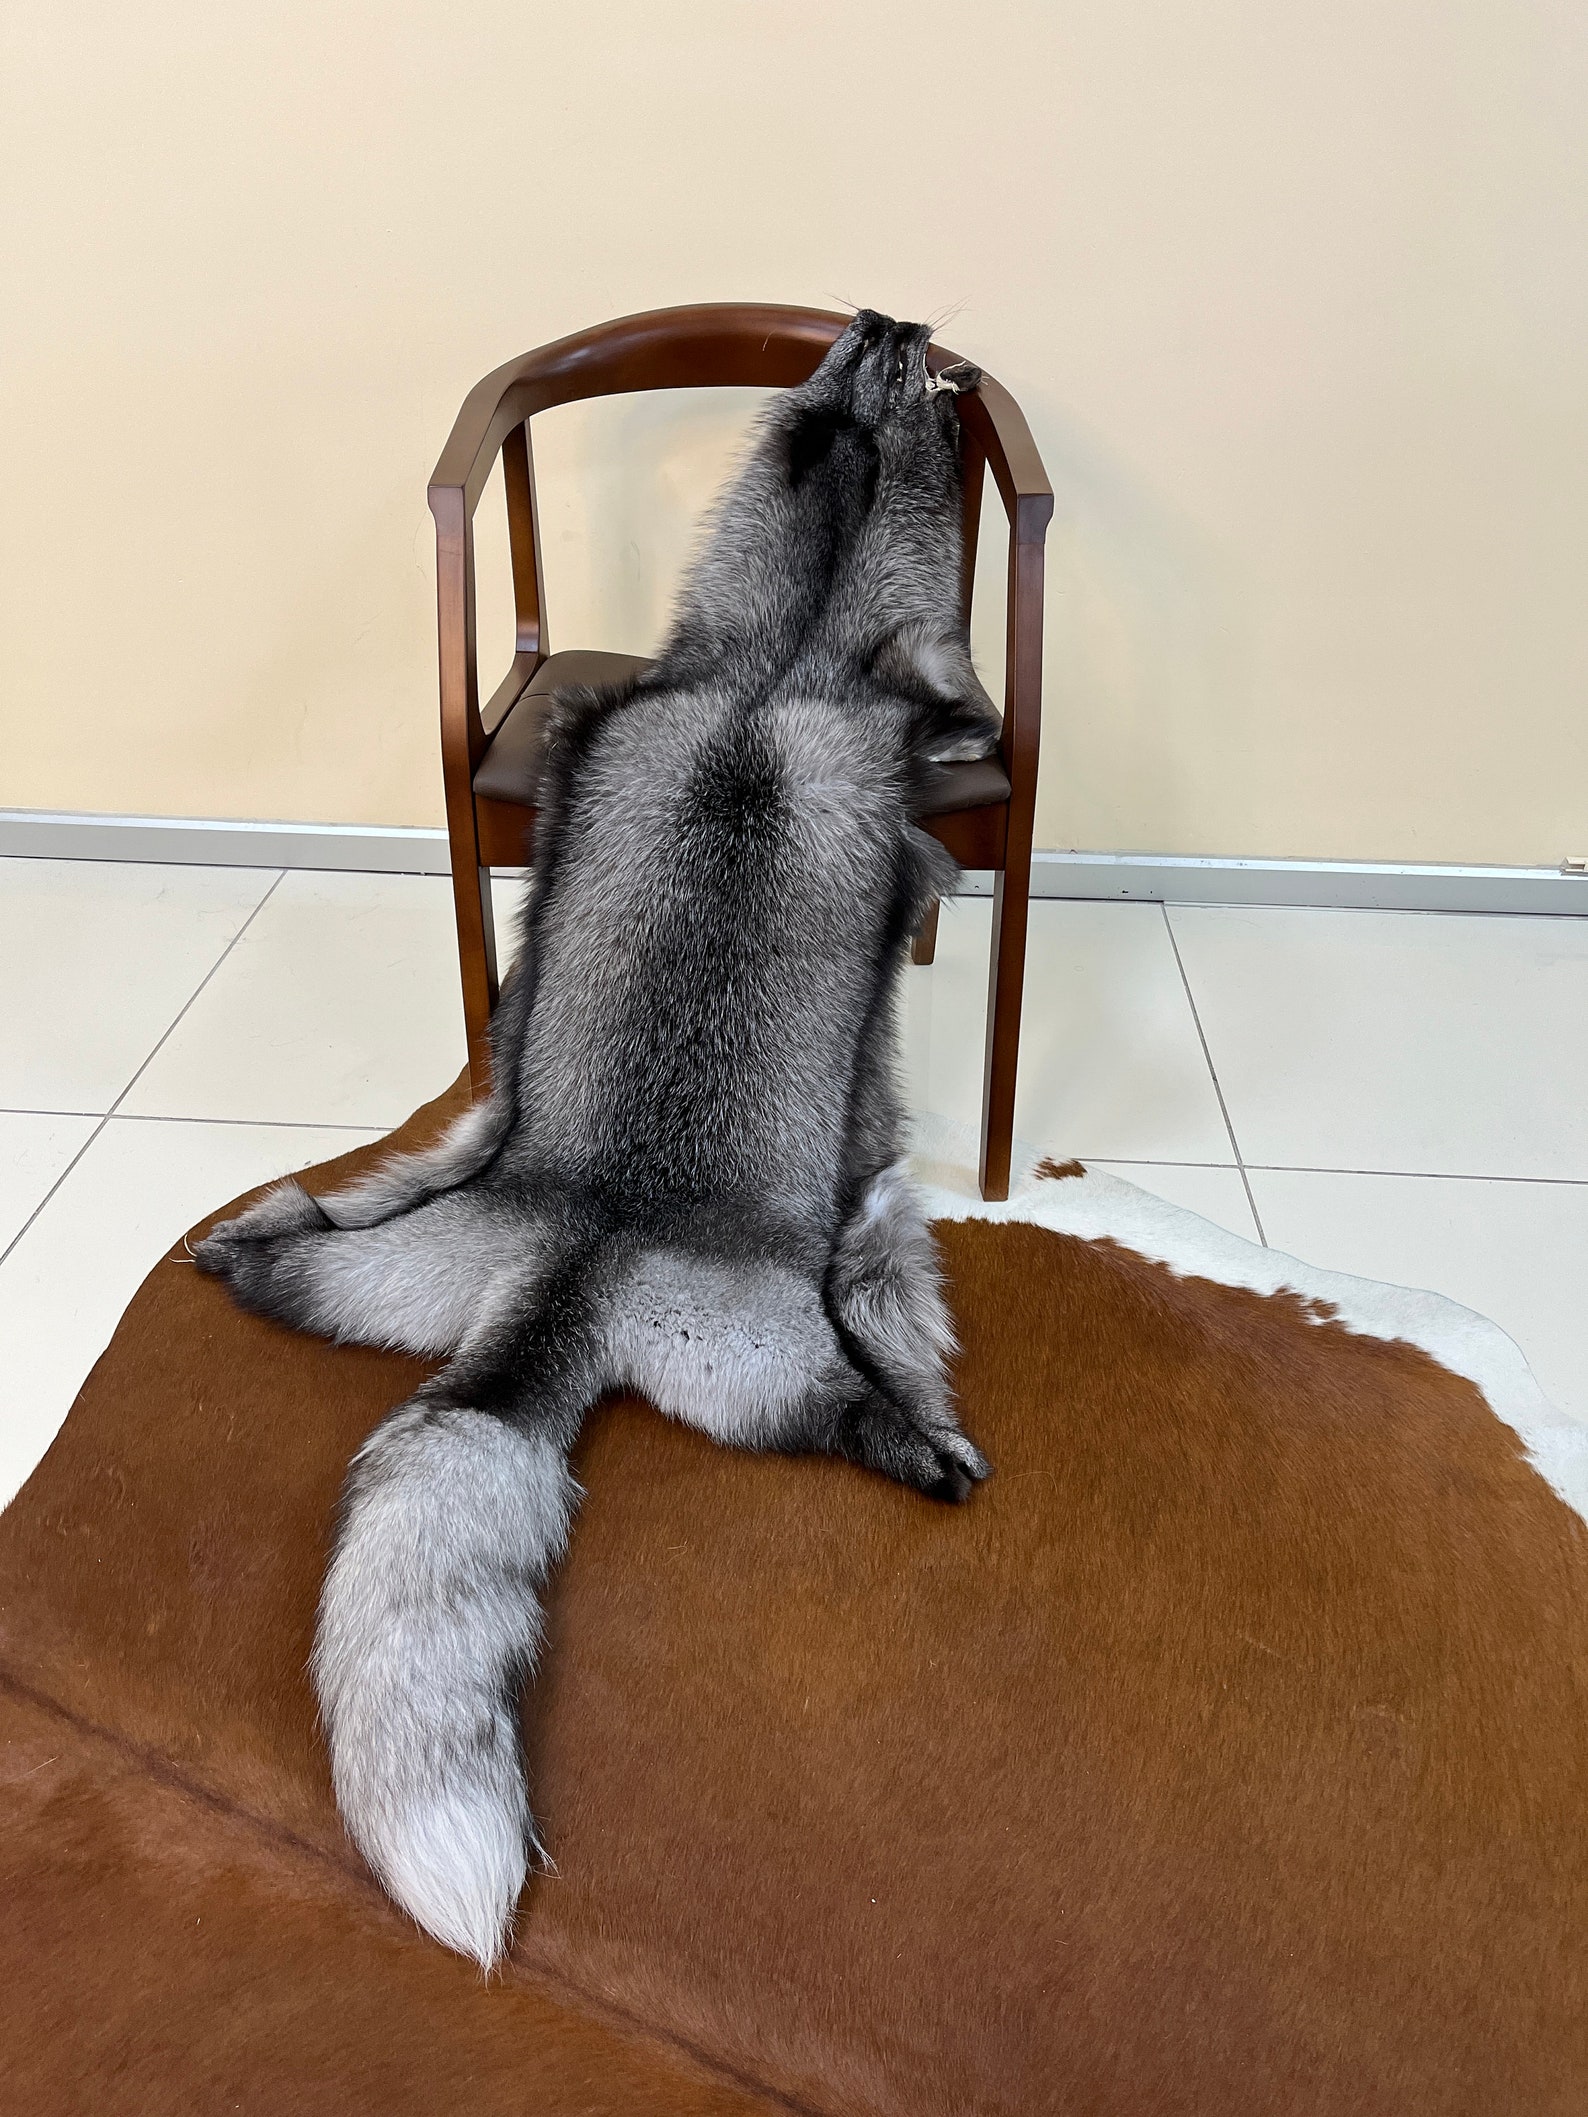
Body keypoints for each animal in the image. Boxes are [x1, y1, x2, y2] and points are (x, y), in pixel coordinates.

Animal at [196, 310, 997, 1968]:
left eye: (854, 366)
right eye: (917, 392)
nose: (895, 322)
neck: (773, 662)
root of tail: (577, 1263)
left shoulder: (589, 743)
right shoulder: (917, 756)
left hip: (381, 1279)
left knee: (306, 1275)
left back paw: (254, 1242)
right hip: (784, 1370)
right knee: (860, 1413)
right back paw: (930, 1445)